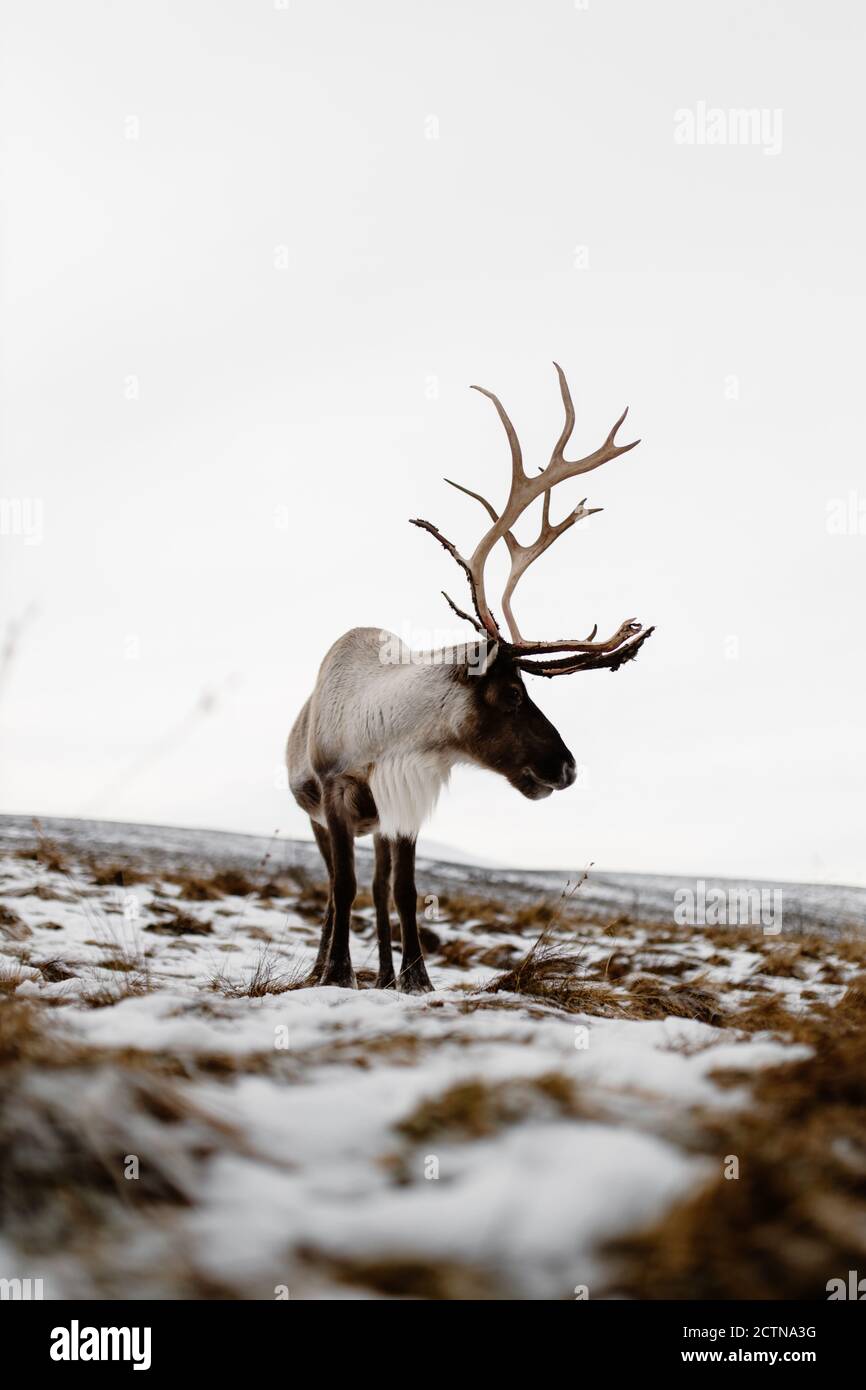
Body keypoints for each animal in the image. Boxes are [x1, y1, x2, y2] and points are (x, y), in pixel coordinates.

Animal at [286, 364, 653, 992]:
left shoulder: (403, 806)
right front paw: (336, 973)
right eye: (512, 692)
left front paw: (414, 979)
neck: (385, 733)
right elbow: (342, 886)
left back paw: (382, 974)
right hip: (319, 815)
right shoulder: (334, 797)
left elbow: (403, 891)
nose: (568, 767)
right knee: (337, 890)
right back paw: (322, 966)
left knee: (377, 889)